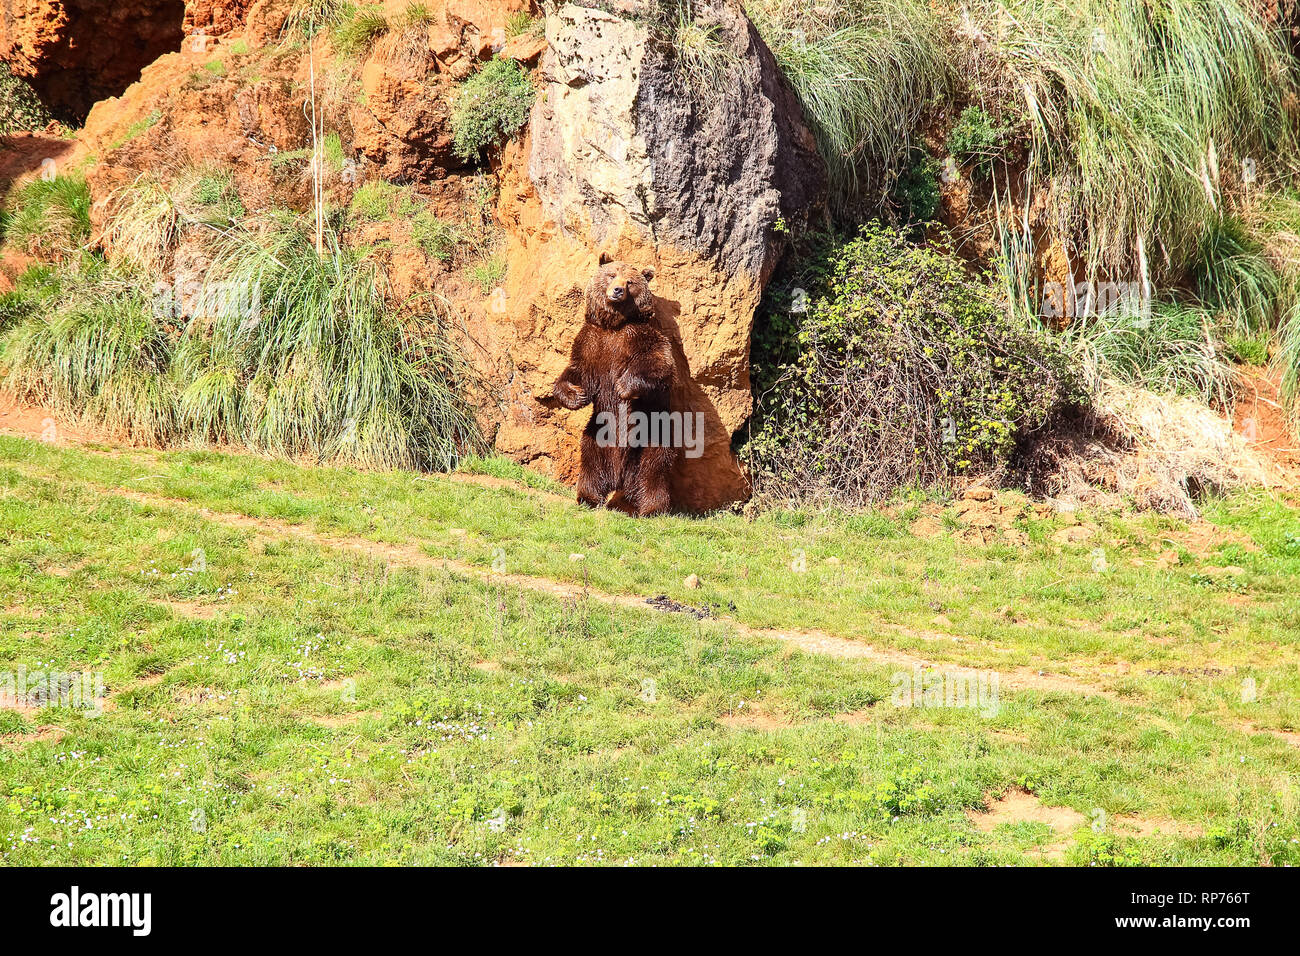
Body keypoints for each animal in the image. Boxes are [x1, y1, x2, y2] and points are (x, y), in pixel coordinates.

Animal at [544, 256, 677, 516]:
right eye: (611, 275)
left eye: (630, 281)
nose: (617, 290)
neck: (614, 325)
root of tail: (620, 477)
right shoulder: (591, 343)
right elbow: (576, 372)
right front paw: (576, 396)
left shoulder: (640, 336)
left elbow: (659, 362)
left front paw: (624, 387)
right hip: (598, 432)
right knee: (591, 464)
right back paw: (588, 498)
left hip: (652, 434)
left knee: (654, 470)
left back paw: (651, 509)